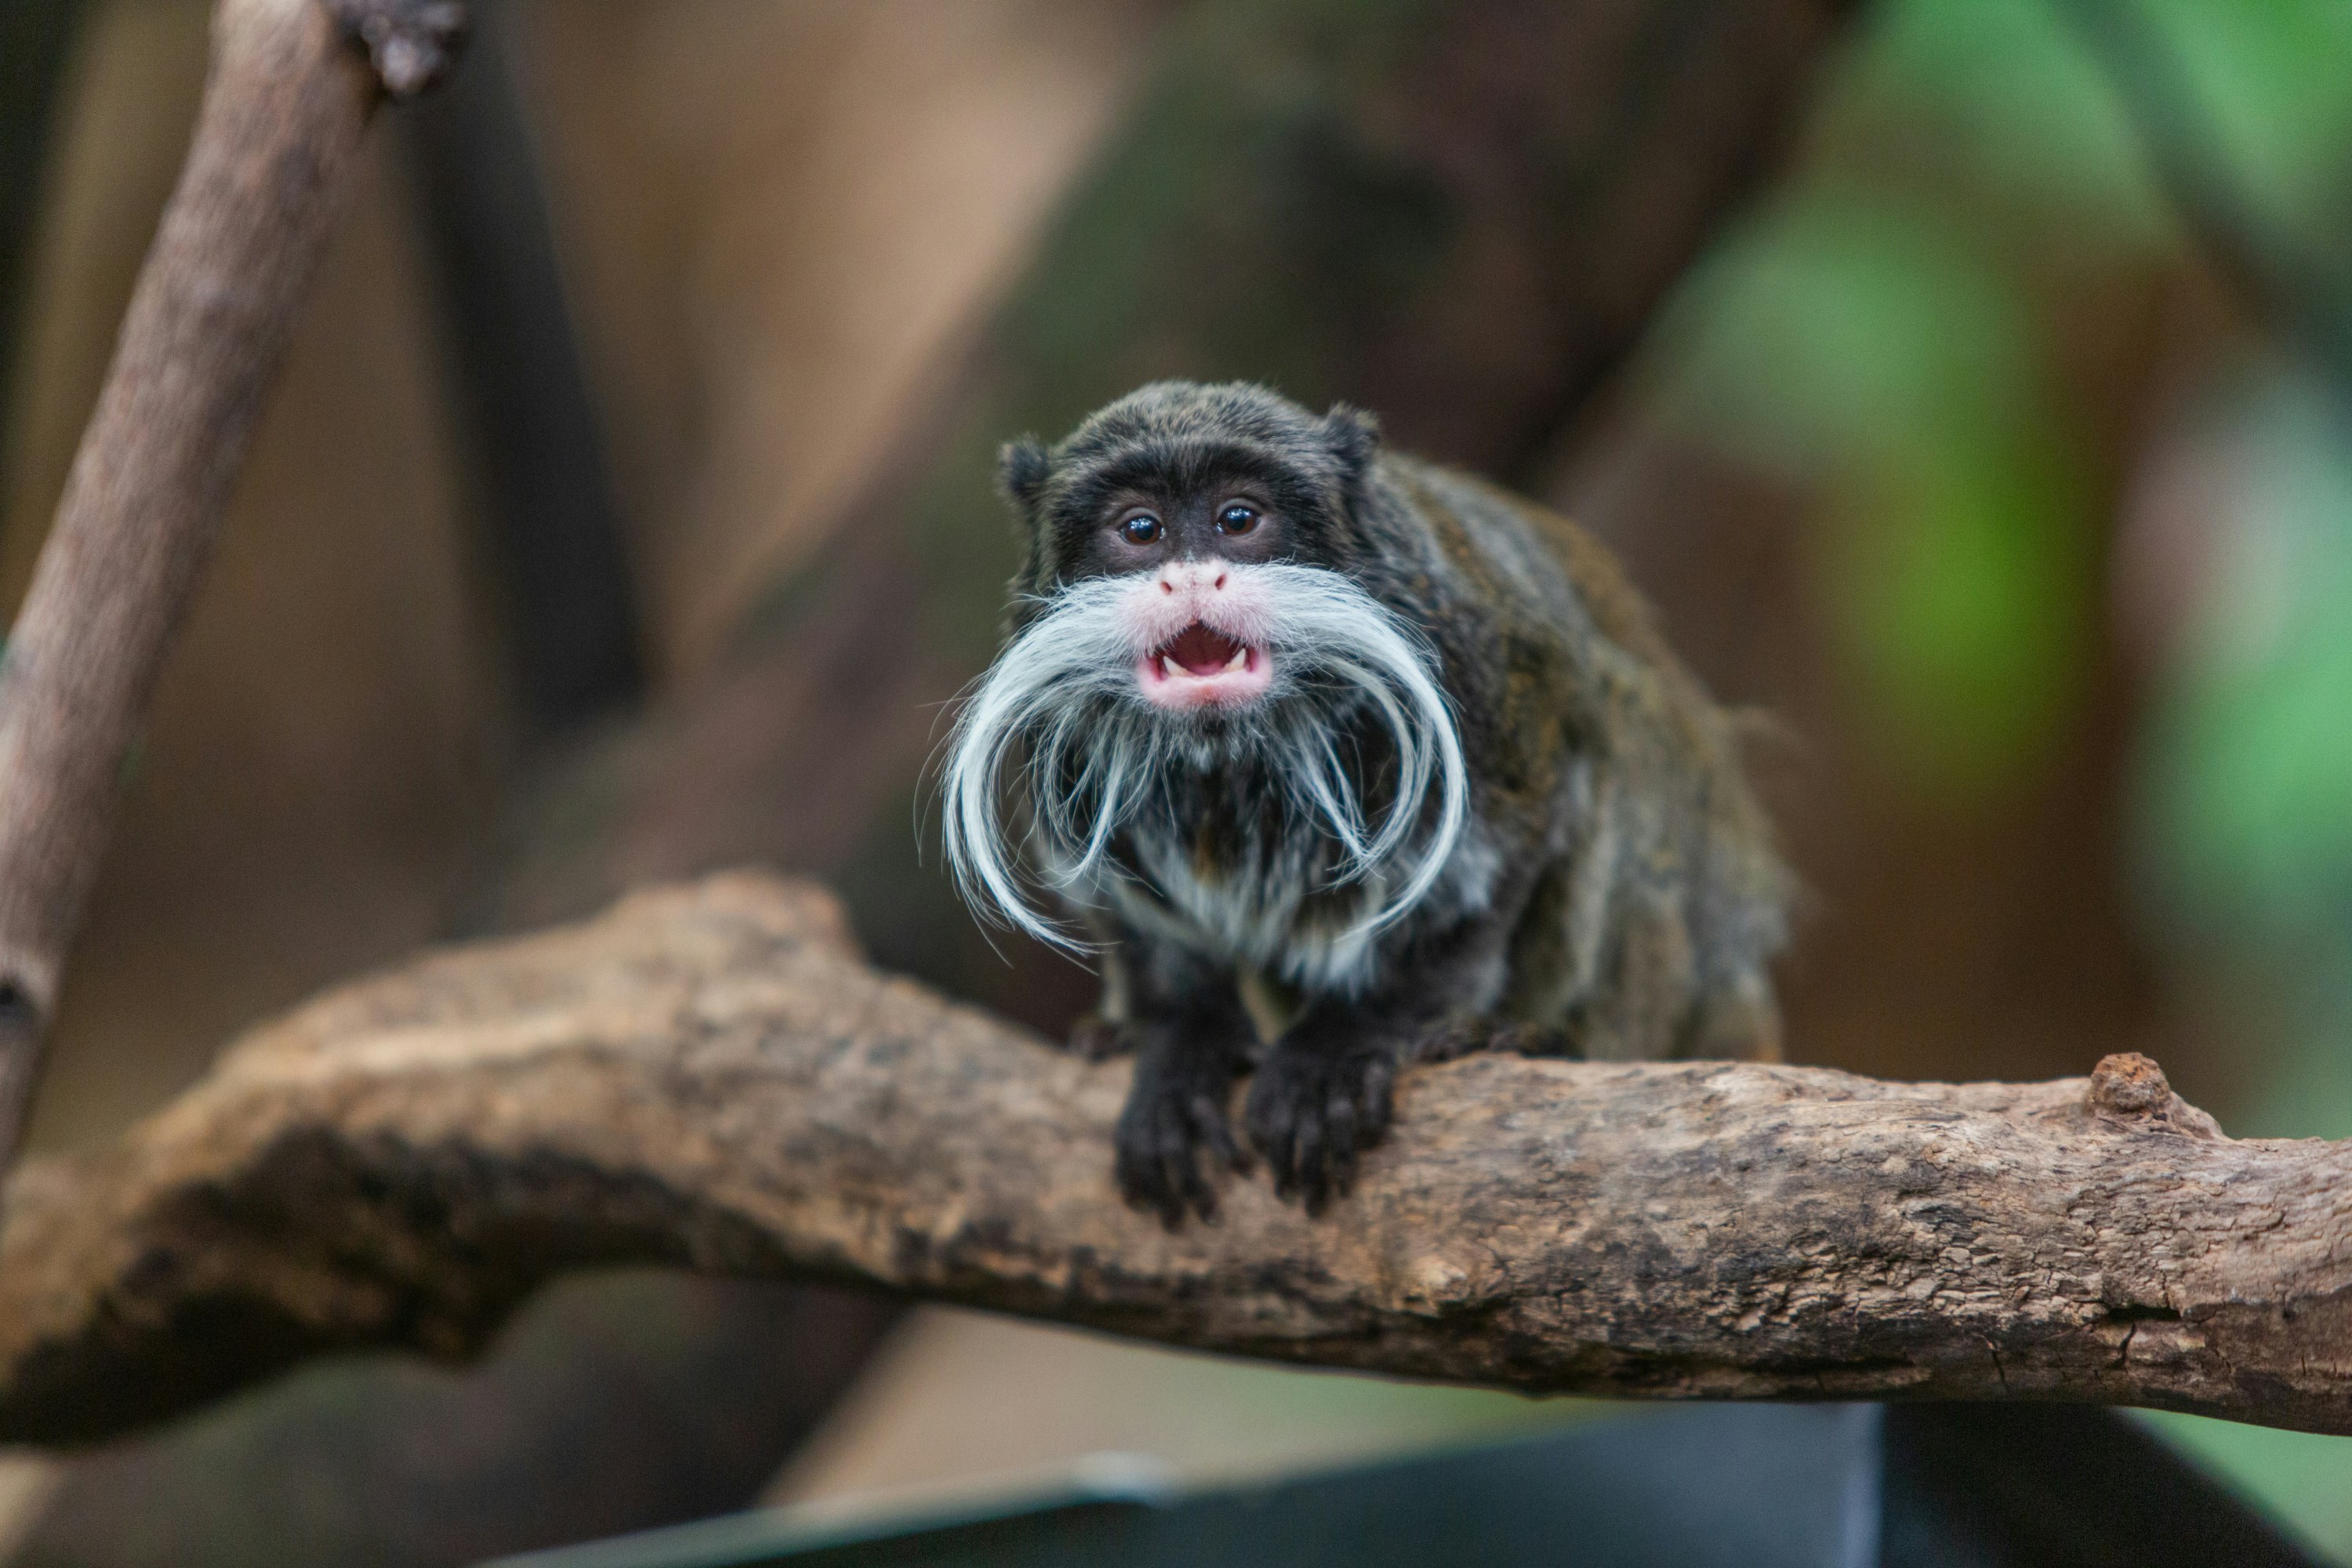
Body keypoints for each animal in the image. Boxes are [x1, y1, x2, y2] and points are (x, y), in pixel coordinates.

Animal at [942, 381, 1790, 1225]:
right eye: (1141, 529)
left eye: (1238, 520)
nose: (1190, 578)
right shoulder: (1055, 721)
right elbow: (1139, 922)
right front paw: (1177, 1051)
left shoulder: (1472, 656)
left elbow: (1503, 858)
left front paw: (1344, 1045)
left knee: (1612, 716)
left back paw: (1532, 1035)